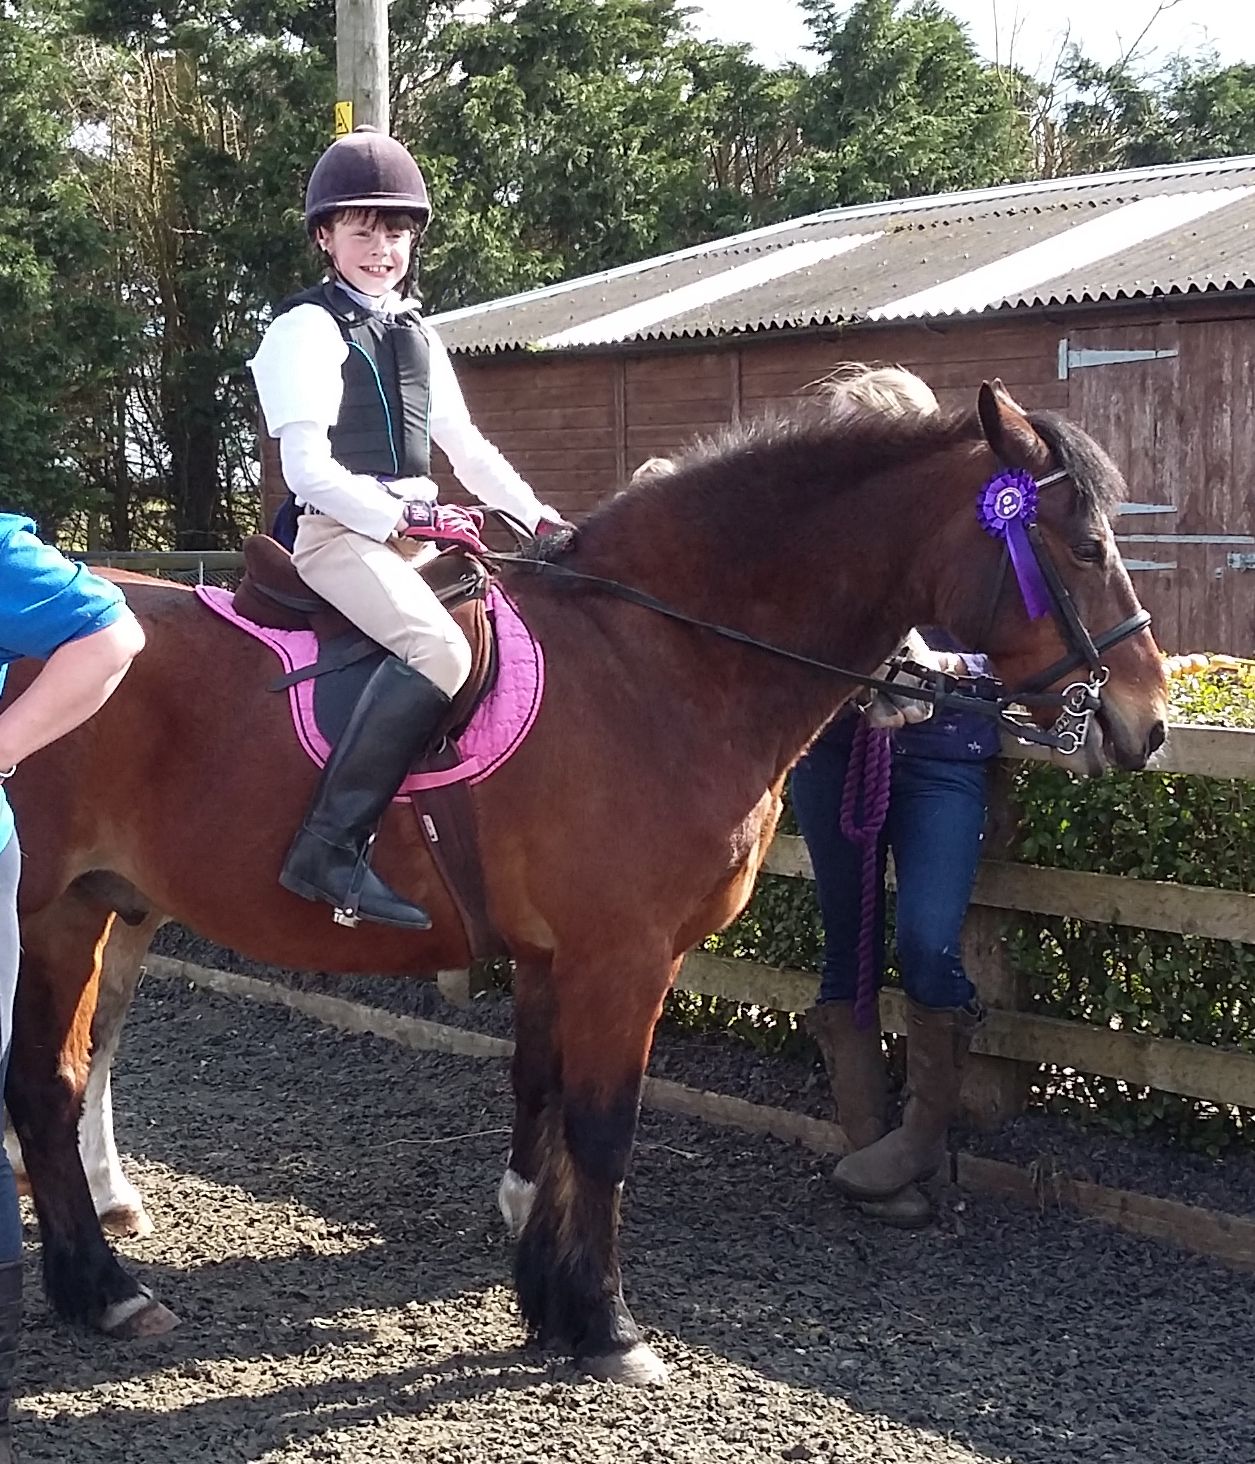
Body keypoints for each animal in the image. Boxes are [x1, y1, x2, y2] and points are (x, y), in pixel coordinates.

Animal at [3, 383, 1167, 1386]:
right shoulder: (625, 955)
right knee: (47, 1085)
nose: (1145, 723)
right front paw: (607, 1326)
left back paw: (98, 1287)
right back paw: (103, 1281)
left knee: (50, 1083)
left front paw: (550, 1303)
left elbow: (550, 1104)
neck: (661, 662)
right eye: (1086, 545)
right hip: (51, 909)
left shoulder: (562, 957)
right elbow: (604, 1128)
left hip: (86, 909)